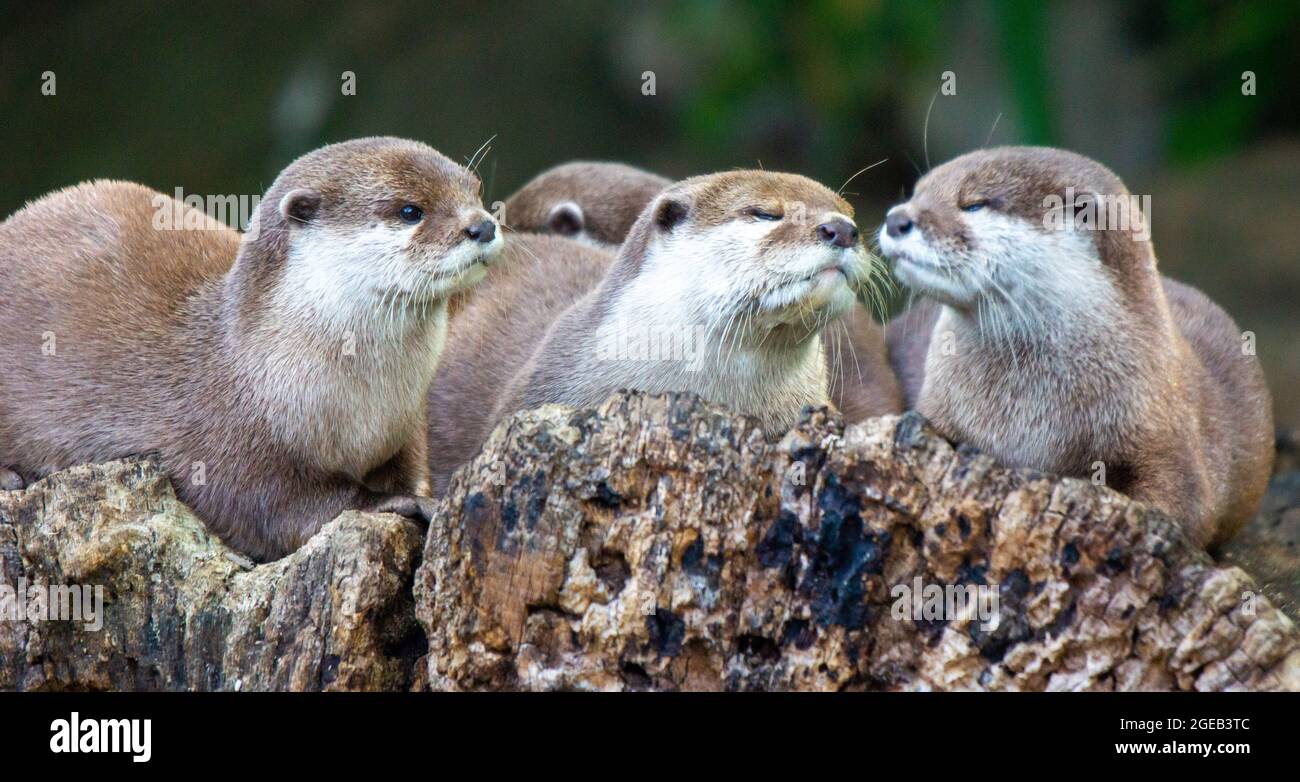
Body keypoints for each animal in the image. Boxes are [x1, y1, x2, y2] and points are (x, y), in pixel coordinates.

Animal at [0, 137, 501, 561]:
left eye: (475, 189)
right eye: (410, 210)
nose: (483, 225)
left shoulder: (407, 421)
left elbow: (411, 464)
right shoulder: (229, 444)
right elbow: (279, 509)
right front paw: (399, 501)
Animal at [878, 146, 1273, 548]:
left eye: (974, 203)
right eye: (917, 192)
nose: (896, 218)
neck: (1027, 413)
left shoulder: (1166, 431)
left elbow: (1184, 506)